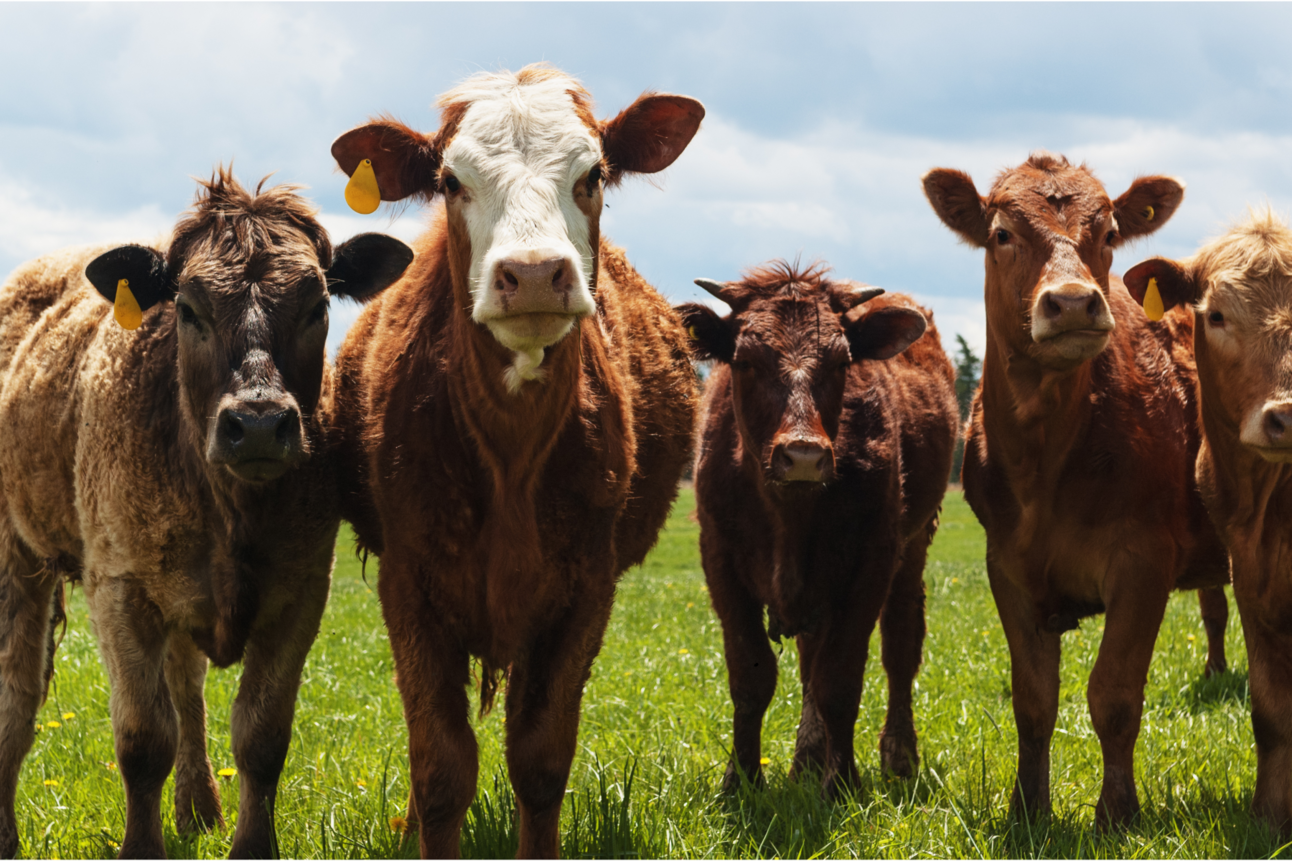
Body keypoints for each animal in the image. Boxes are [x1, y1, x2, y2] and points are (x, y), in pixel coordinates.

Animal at [0, 169, 413, 859]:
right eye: (188, 309)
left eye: (318, 307)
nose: (259, 425)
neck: (229, 509)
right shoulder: (120, 591)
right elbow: (143, 741)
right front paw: (142, 848)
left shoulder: (300, 594)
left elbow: (260, 737)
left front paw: (250, 845)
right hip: (16, 560)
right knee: (17, 697)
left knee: (185, 689)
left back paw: (197, 809)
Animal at [325, 64, 703, 858]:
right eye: (449, 180)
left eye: (593, 174)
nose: (531, 275)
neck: (510, 459)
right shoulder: (408, 584)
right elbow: (440, 764)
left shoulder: (584, 590)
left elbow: (540, 757)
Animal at [676, 262, 957, 798]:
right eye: (745, 360)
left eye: (842, 362)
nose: (803, 454)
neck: (788, 514)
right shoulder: (719, 561)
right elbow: (753, 676)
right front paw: (741, 780)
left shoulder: (871, 563)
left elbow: (840, 680)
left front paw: (841, 782)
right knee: (810, 660)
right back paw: (806, 757)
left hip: (913, 549)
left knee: (900, 645)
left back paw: (898, 756)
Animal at [922, 152, 1231, 829]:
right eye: (1001, 234)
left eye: (1110, 233)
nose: (1069, 303)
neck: (1046, 464)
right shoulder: (1007, 568)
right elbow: (1033, 700)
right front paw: (1028, 808)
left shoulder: (1144, 563)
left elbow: (1113, 694)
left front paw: (1116, 813)